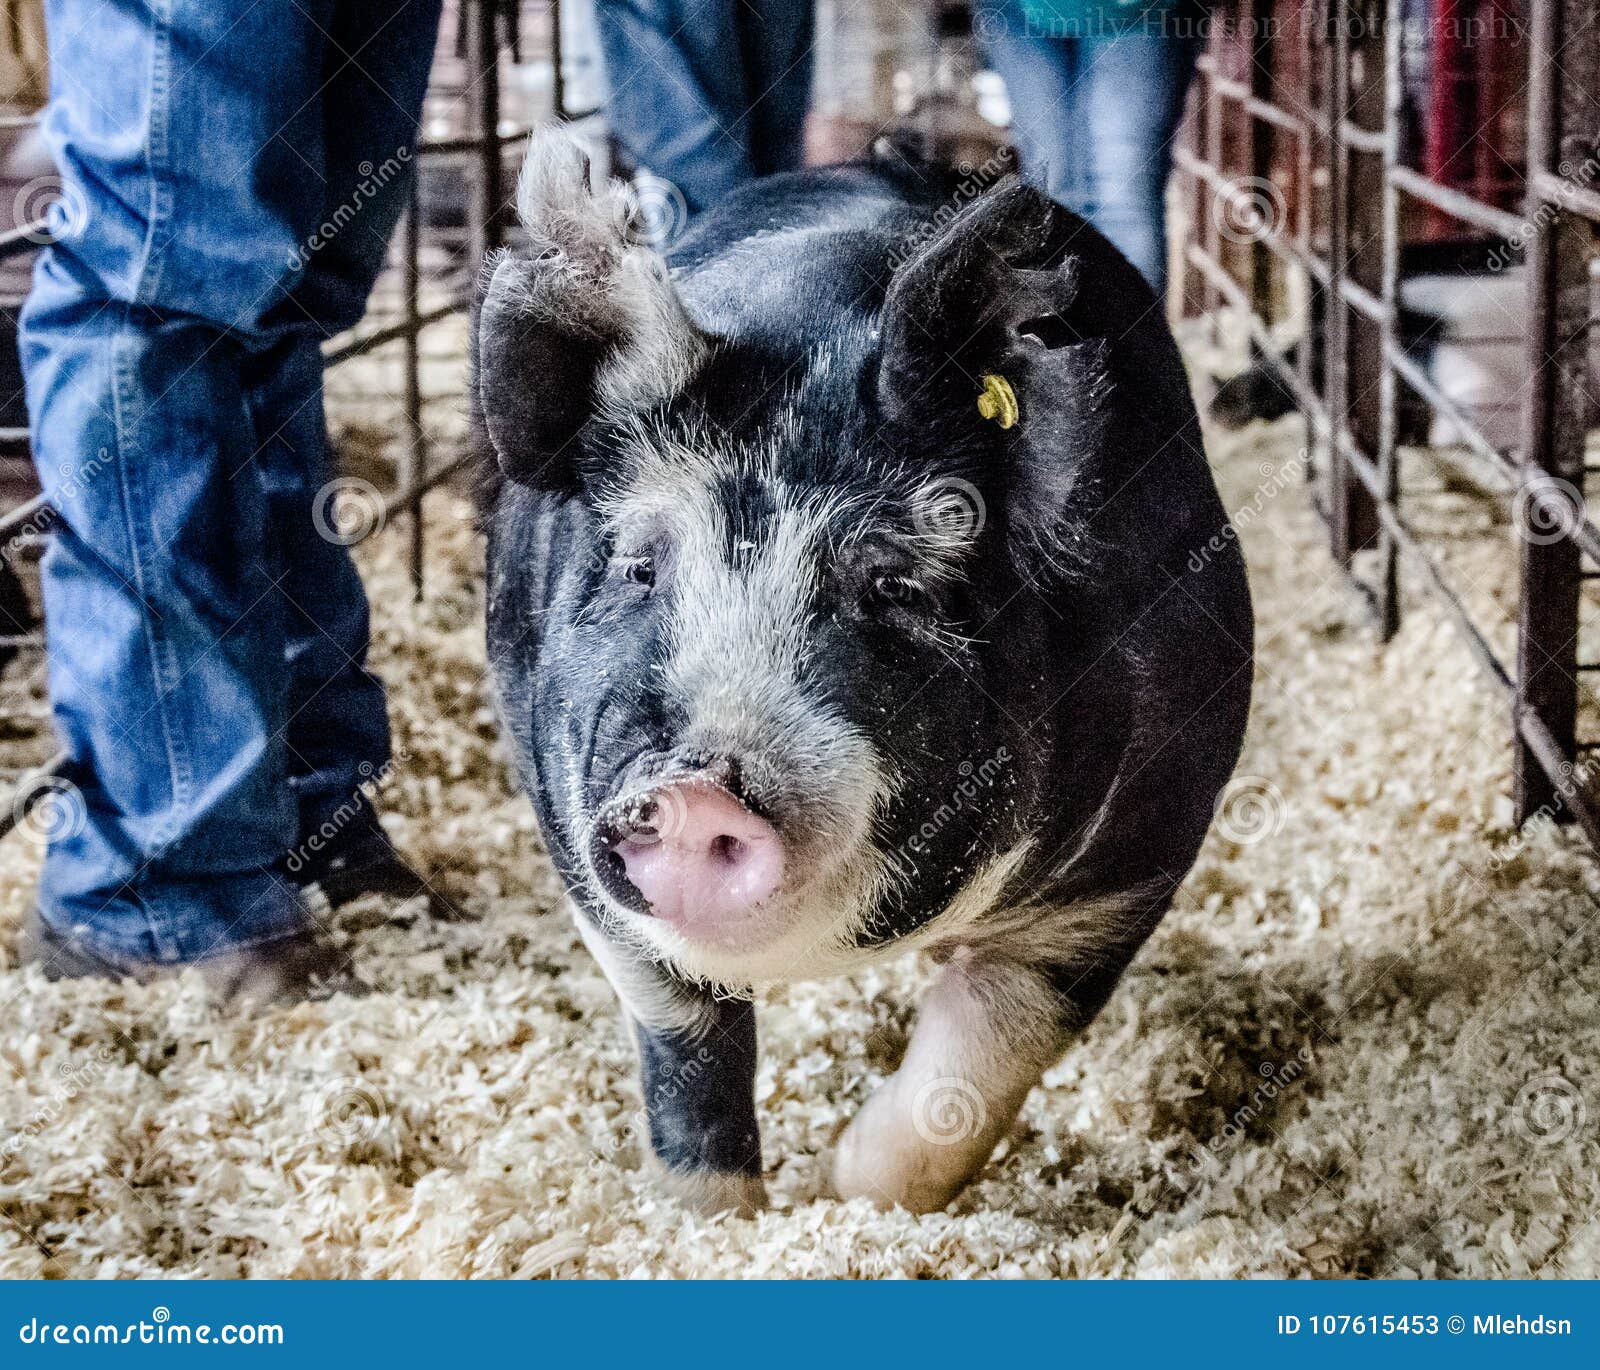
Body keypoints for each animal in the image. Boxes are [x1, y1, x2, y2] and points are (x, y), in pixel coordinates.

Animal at [472, 133, 1253, 1217]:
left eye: (891, 584)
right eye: (637, 565)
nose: (692, 791)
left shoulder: (1139, 847)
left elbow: (989, 1046)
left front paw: (853, 1189)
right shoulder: (571, 832)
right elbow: (687, 1043)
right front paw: (710, 1218)